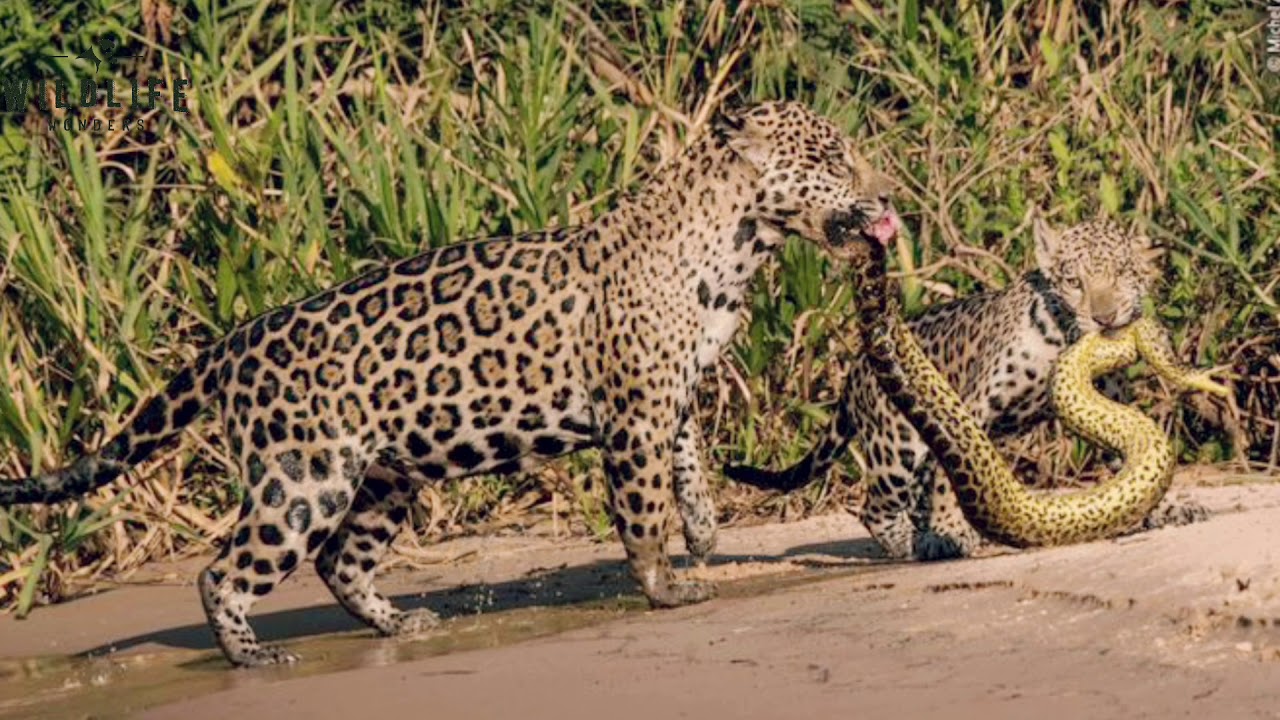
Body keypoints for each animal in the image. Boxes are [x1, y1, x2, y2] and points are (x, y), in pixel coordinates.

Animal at [0, 101, 900, 667]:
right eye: (831, 158)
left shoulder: (666, 400)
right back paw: (254, 654)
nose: (887, 194)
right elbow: (643, 509)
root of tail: (236, 343)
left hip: (381, 478)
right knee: (224, 571)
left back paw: (400, 622)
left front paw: (708, 533)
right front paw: (667, 587)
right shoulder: (634, 412)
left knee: (343, 562)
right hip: (303, 479)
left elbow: (688, 468)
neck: (739, 245)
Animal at [727, 216, 1207, 560]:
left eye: (1123, 274)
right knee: (876, 506)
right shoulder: (973, 406)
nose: (1105, 318)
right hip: (894, 444)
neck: (1061, 341)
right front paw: (952, 529)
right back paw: (915, 544)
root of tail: (855, 372)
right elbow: (949, 476)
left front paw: (1164, 509)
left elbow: (1130, 460)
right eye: (1075, 282)